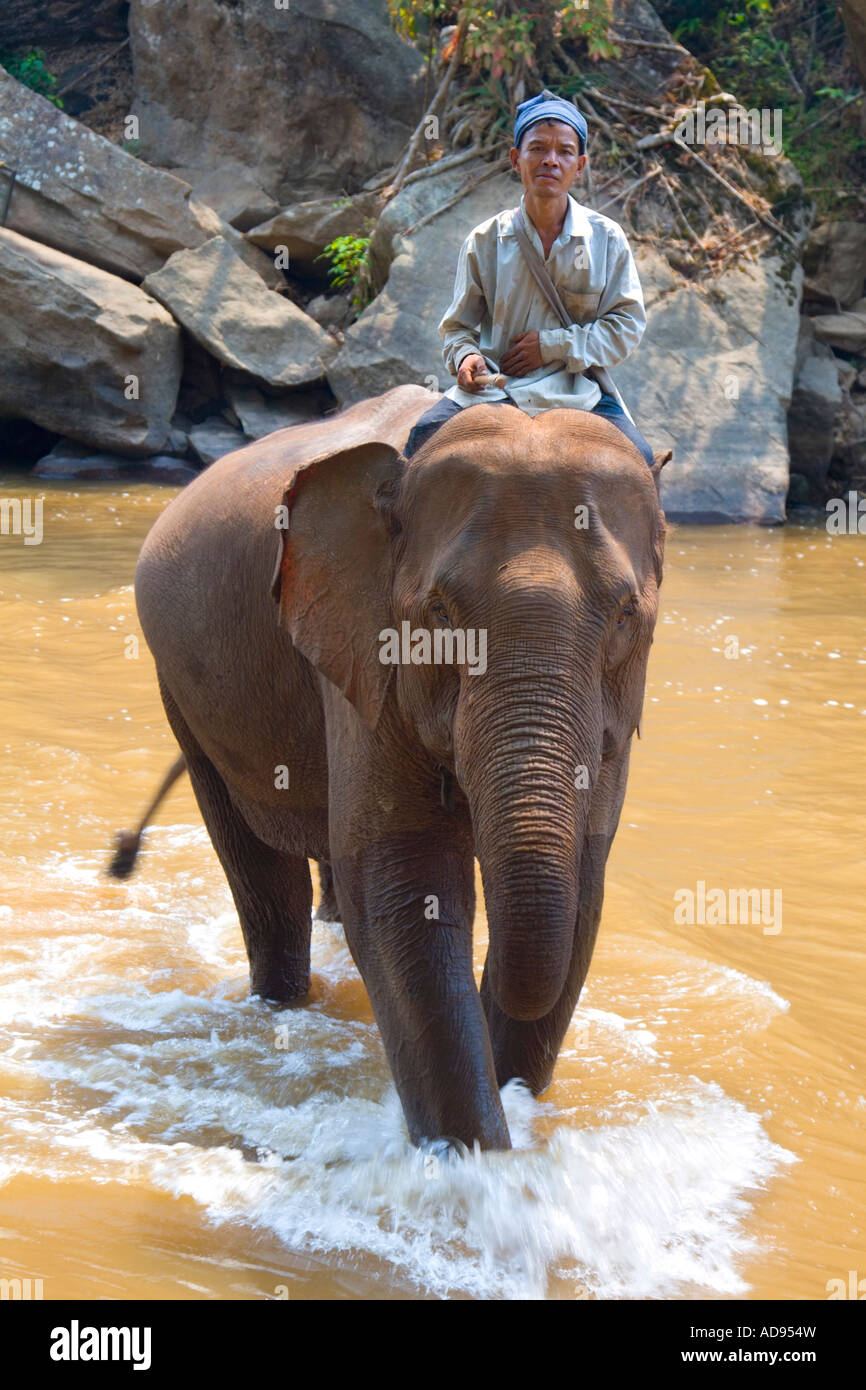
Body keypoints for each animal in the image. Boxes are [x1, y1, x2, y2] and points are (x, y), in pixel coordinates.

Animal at [134, 384, 668, 1152]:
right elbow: (405, 890)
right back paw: (280, 1007)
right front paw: (478, 1165)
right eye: (439, 613)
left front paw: (515, 1111)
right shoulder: (364, 651)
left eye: (627, 614)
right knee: (259, 868)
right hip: (180, 688)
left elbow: (585, 888)